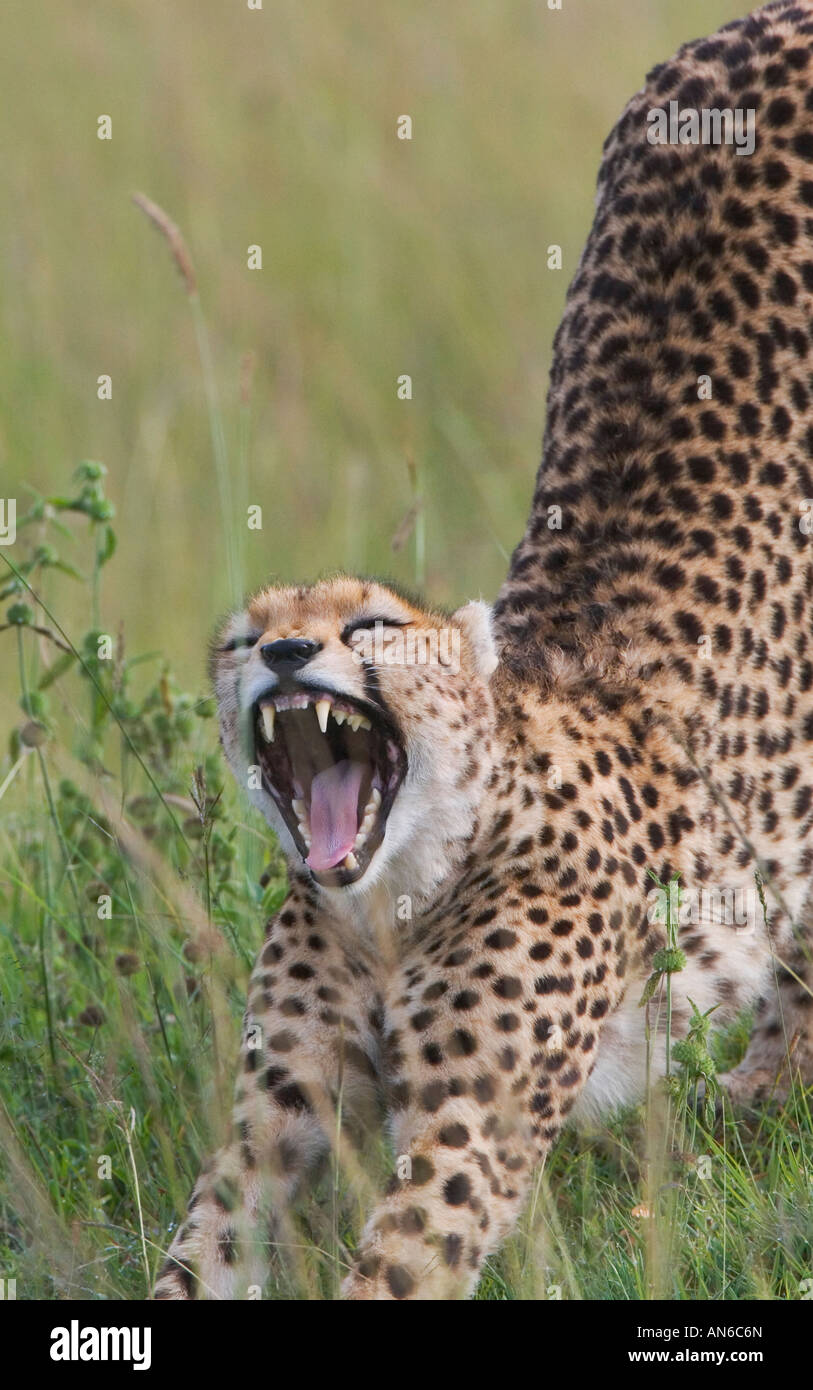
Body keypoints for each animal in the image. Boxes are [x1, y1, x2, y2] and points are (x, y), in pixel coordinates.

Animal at [154, 0, 813, 1300]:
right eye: (248, 638)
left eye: (366, 625)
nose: (288, 654)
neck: (397, 895)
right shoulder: (273, 1111)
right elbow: (200, 1248)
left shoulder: (471, 1130)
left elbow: (391, 1271)